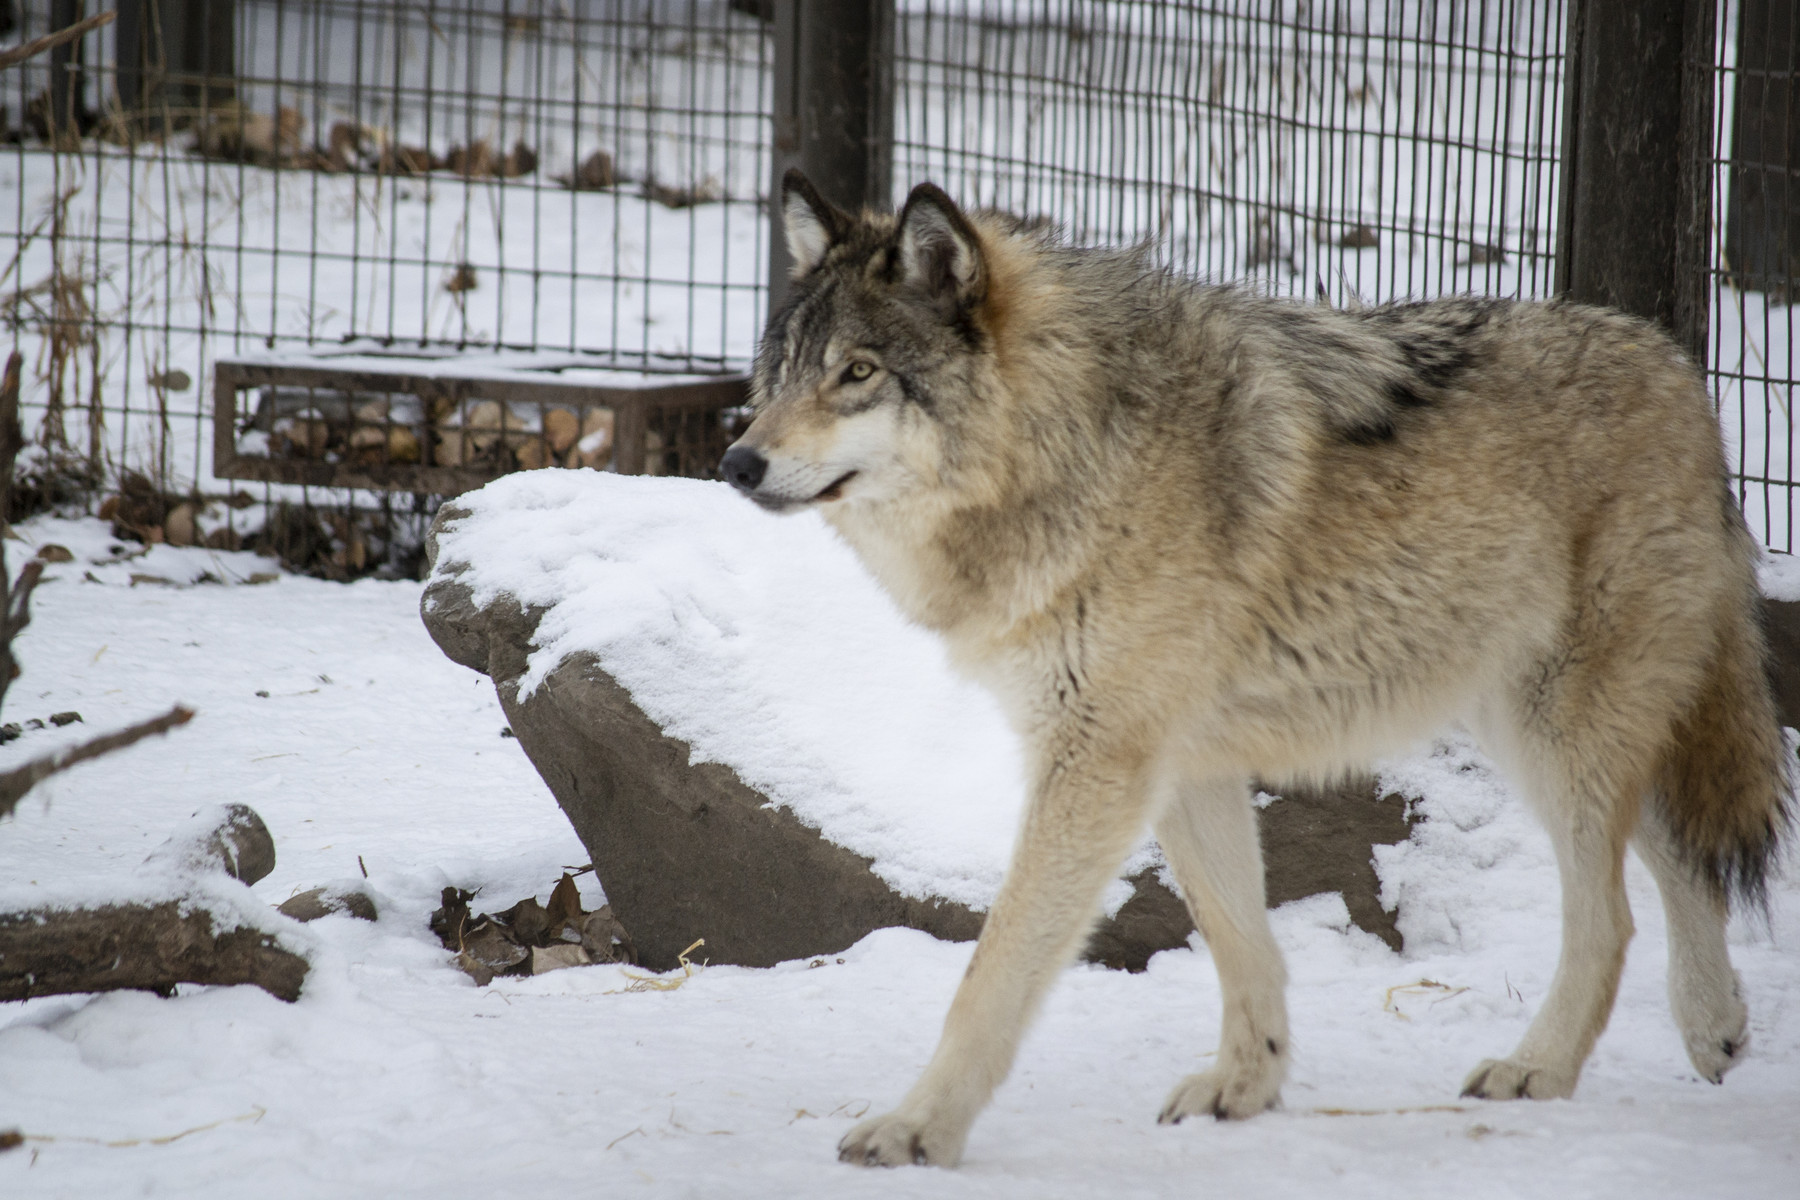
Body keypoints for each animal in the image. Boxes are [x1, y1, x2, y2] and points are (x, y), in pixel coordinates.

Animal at [719, 169, 1792, 1168]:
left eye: (858, 372)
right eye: (779, 373)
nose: (735, 463)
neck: (1068, 448)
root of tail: (1683, 369)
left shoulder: (1095, 766)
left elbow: (995, 972)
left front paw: (917, 1129)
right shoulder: (1182, 767)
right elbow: (1241, 942)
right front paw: (1247, 1087)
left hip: (1556, 734)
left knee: (1609, 917)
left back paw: (1540, 1069)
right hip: (1534, 727)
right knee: (1681, 856)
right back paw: (1714, 1028)